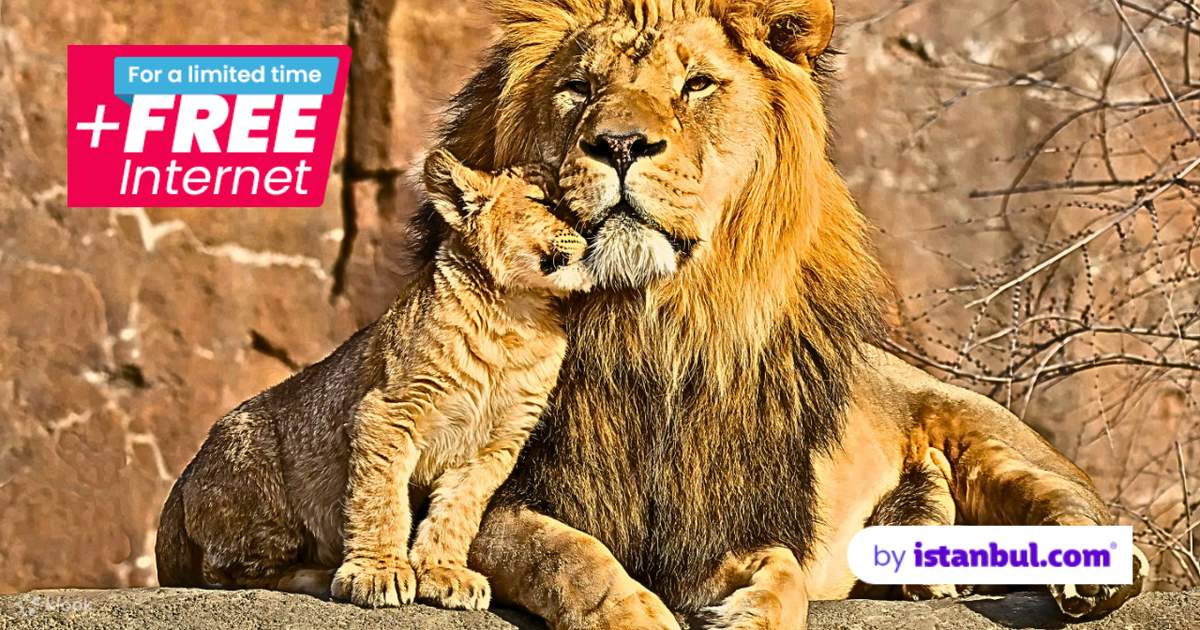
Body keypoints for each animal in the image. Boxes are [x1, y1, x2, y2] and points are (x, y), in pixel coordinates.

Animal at [391, 0, 1148, 628]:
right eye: (579, 89)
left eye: (696, 85)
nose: (620, 144)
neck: (653, 327)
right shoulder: (511, 494)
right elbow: (572, 559)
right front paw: (634, 612)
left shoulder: (727, 518)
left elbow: (783, 574)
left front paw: (753, 614)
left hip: (983, 435)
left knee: (1068, 498)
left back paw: (1100, 576)